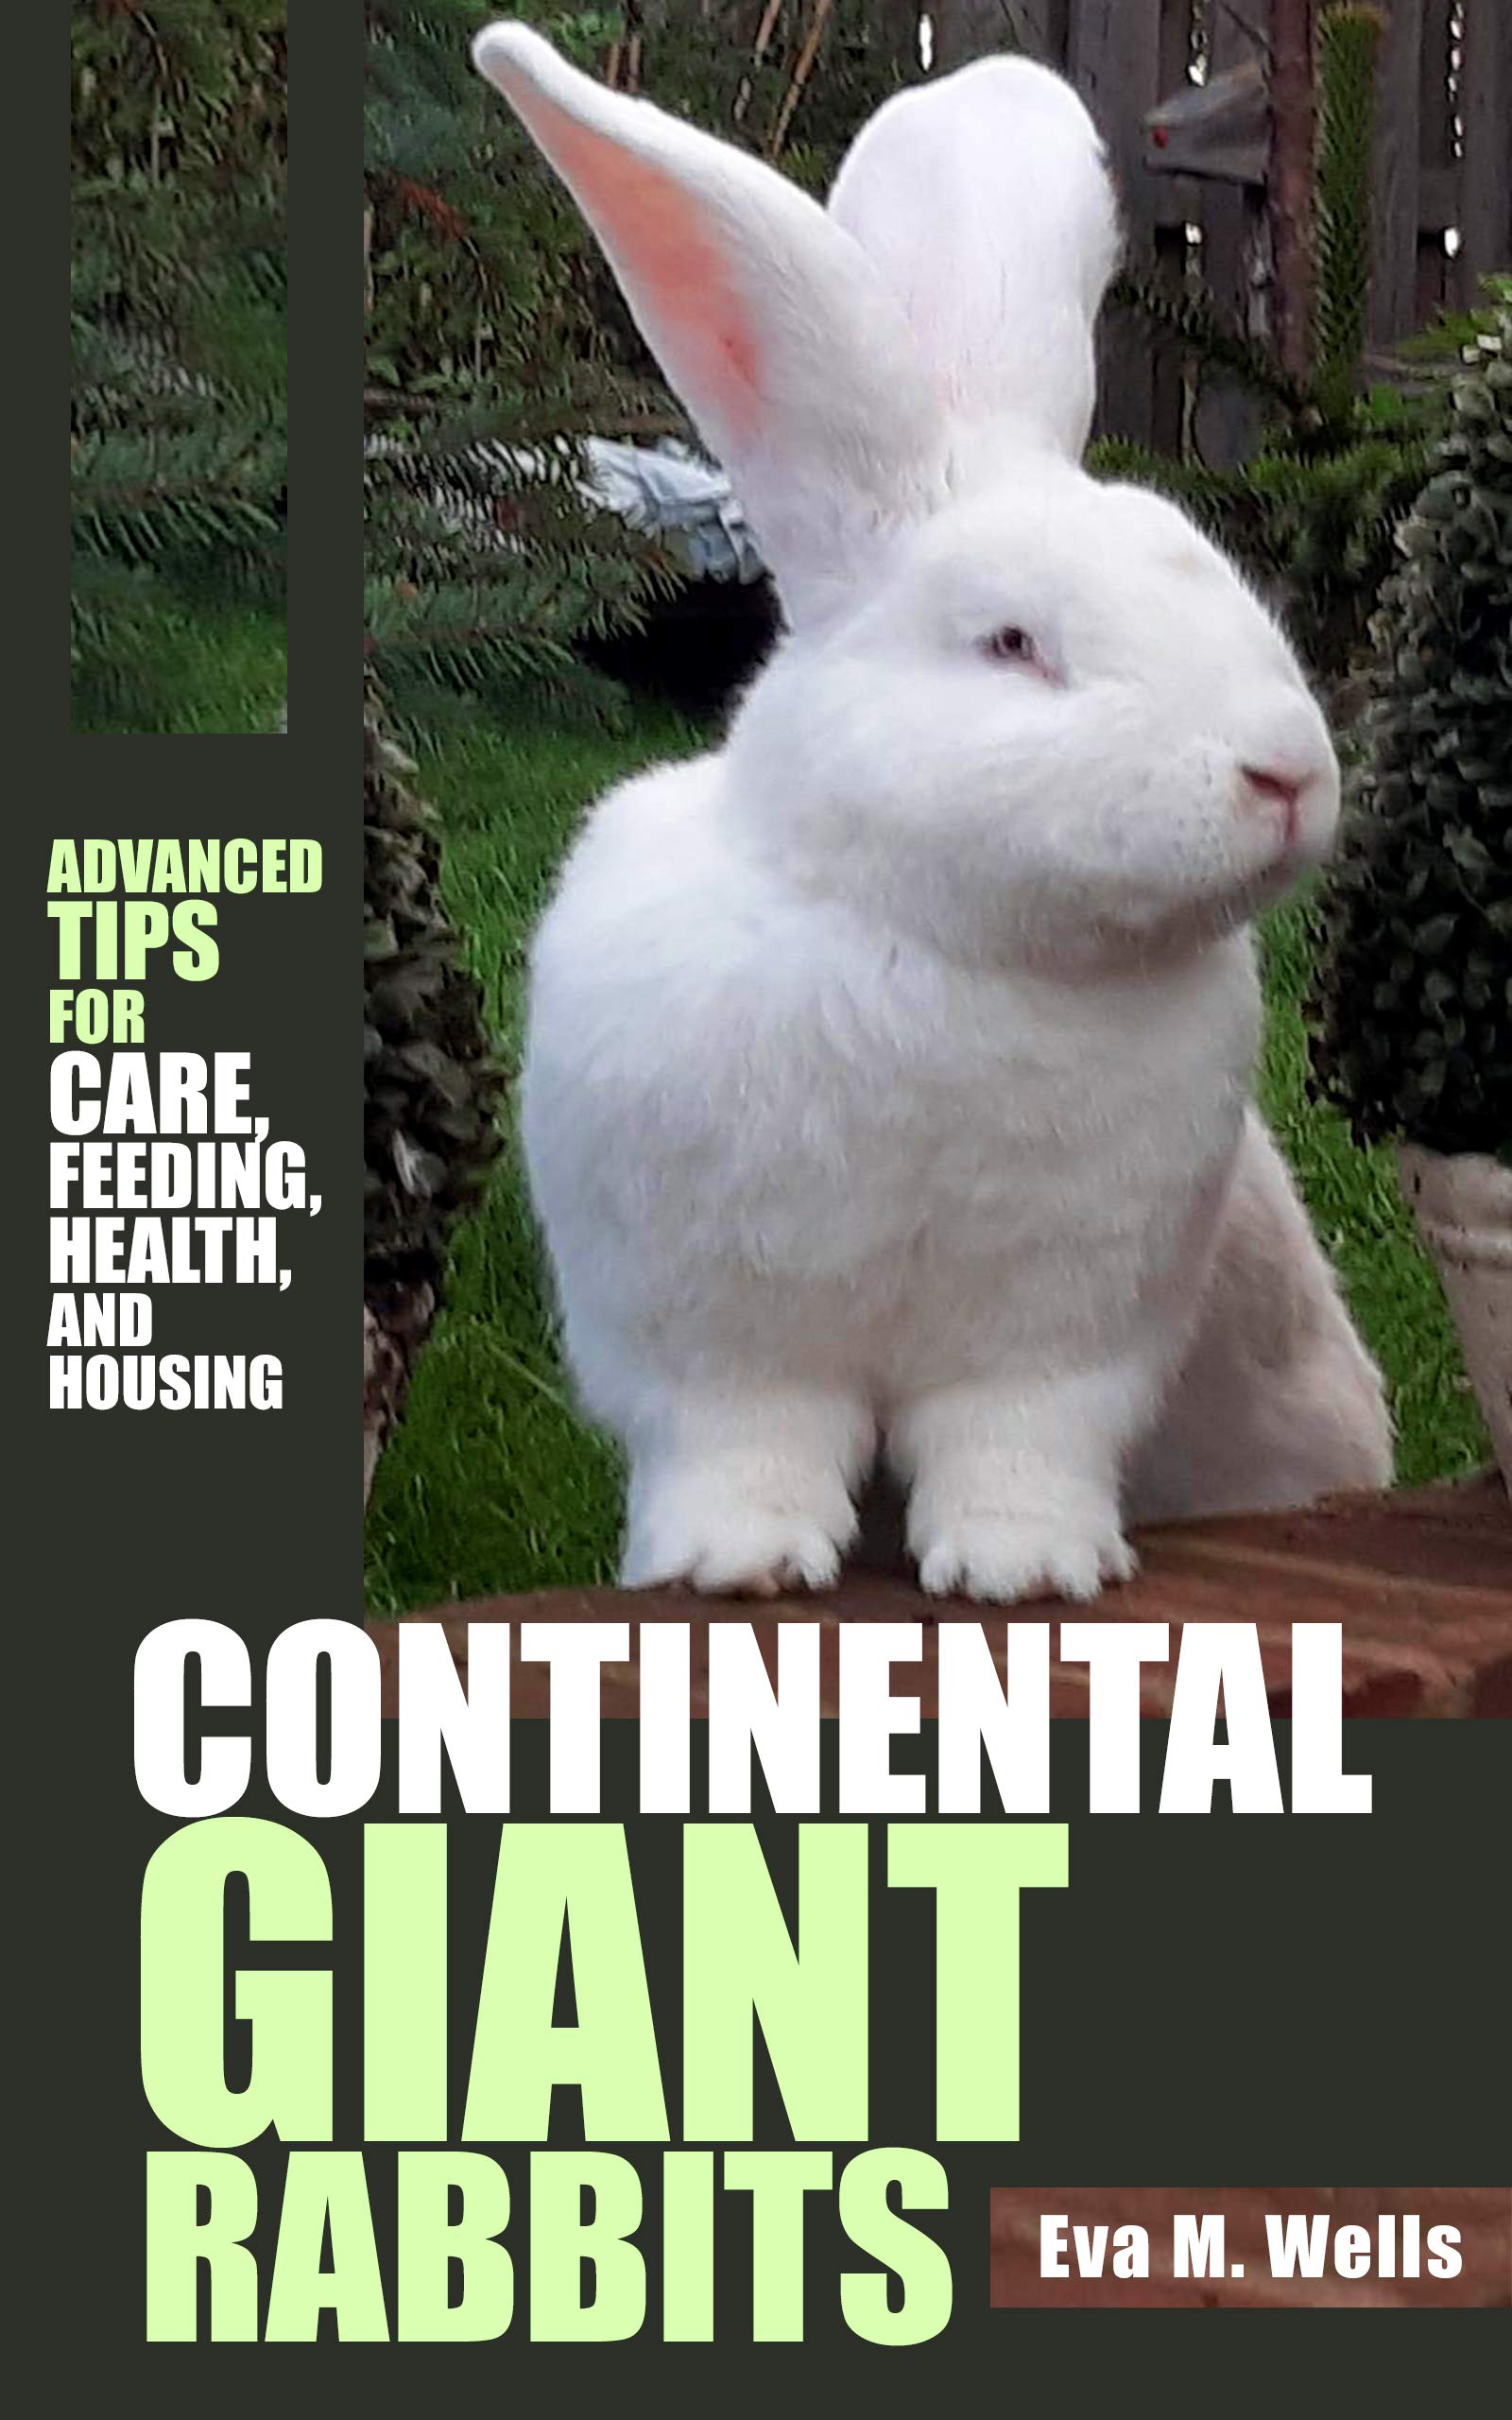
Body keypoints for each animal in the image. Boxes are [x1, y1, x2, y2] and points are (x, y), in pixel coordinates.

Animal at [473, 25, 1391, 1604]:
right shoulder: (710, 1333)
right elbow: (747, 1443)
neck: (934, 946)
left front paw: (1028, 1574)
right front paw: (735, 1565)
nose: (1288, 773)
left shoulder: (1062, 1331)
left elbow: (1016, 1445)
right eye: (1013, 645)